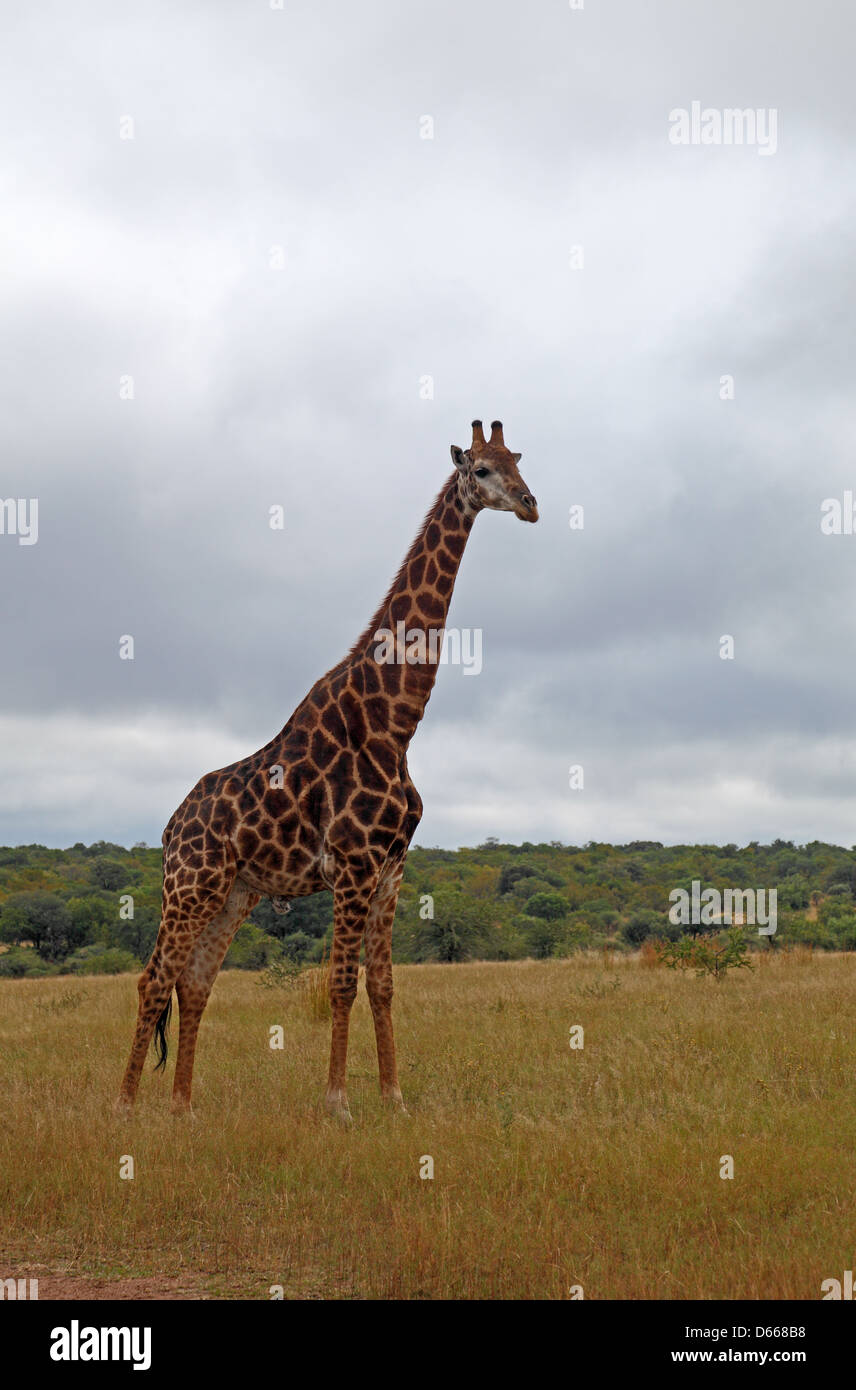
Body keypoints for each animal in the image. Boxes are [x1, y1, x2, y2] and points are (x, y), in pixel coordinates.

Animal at [116, 420, 538, 1122]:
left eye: (519, 459)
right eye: (480, 469)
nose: (531, 504)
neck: (395, 722)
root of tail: (171, 829)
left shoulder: (392, 867)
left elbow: (384, 984)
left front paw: (394, 1096)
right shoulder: (353, 865)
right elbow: (340, 982)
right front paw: (338, 1101)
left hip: (234, 892)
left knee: (194, 982)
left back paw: (183, 1108)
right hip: (190, 885)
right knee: (154, 978)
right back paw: (124, 1107)